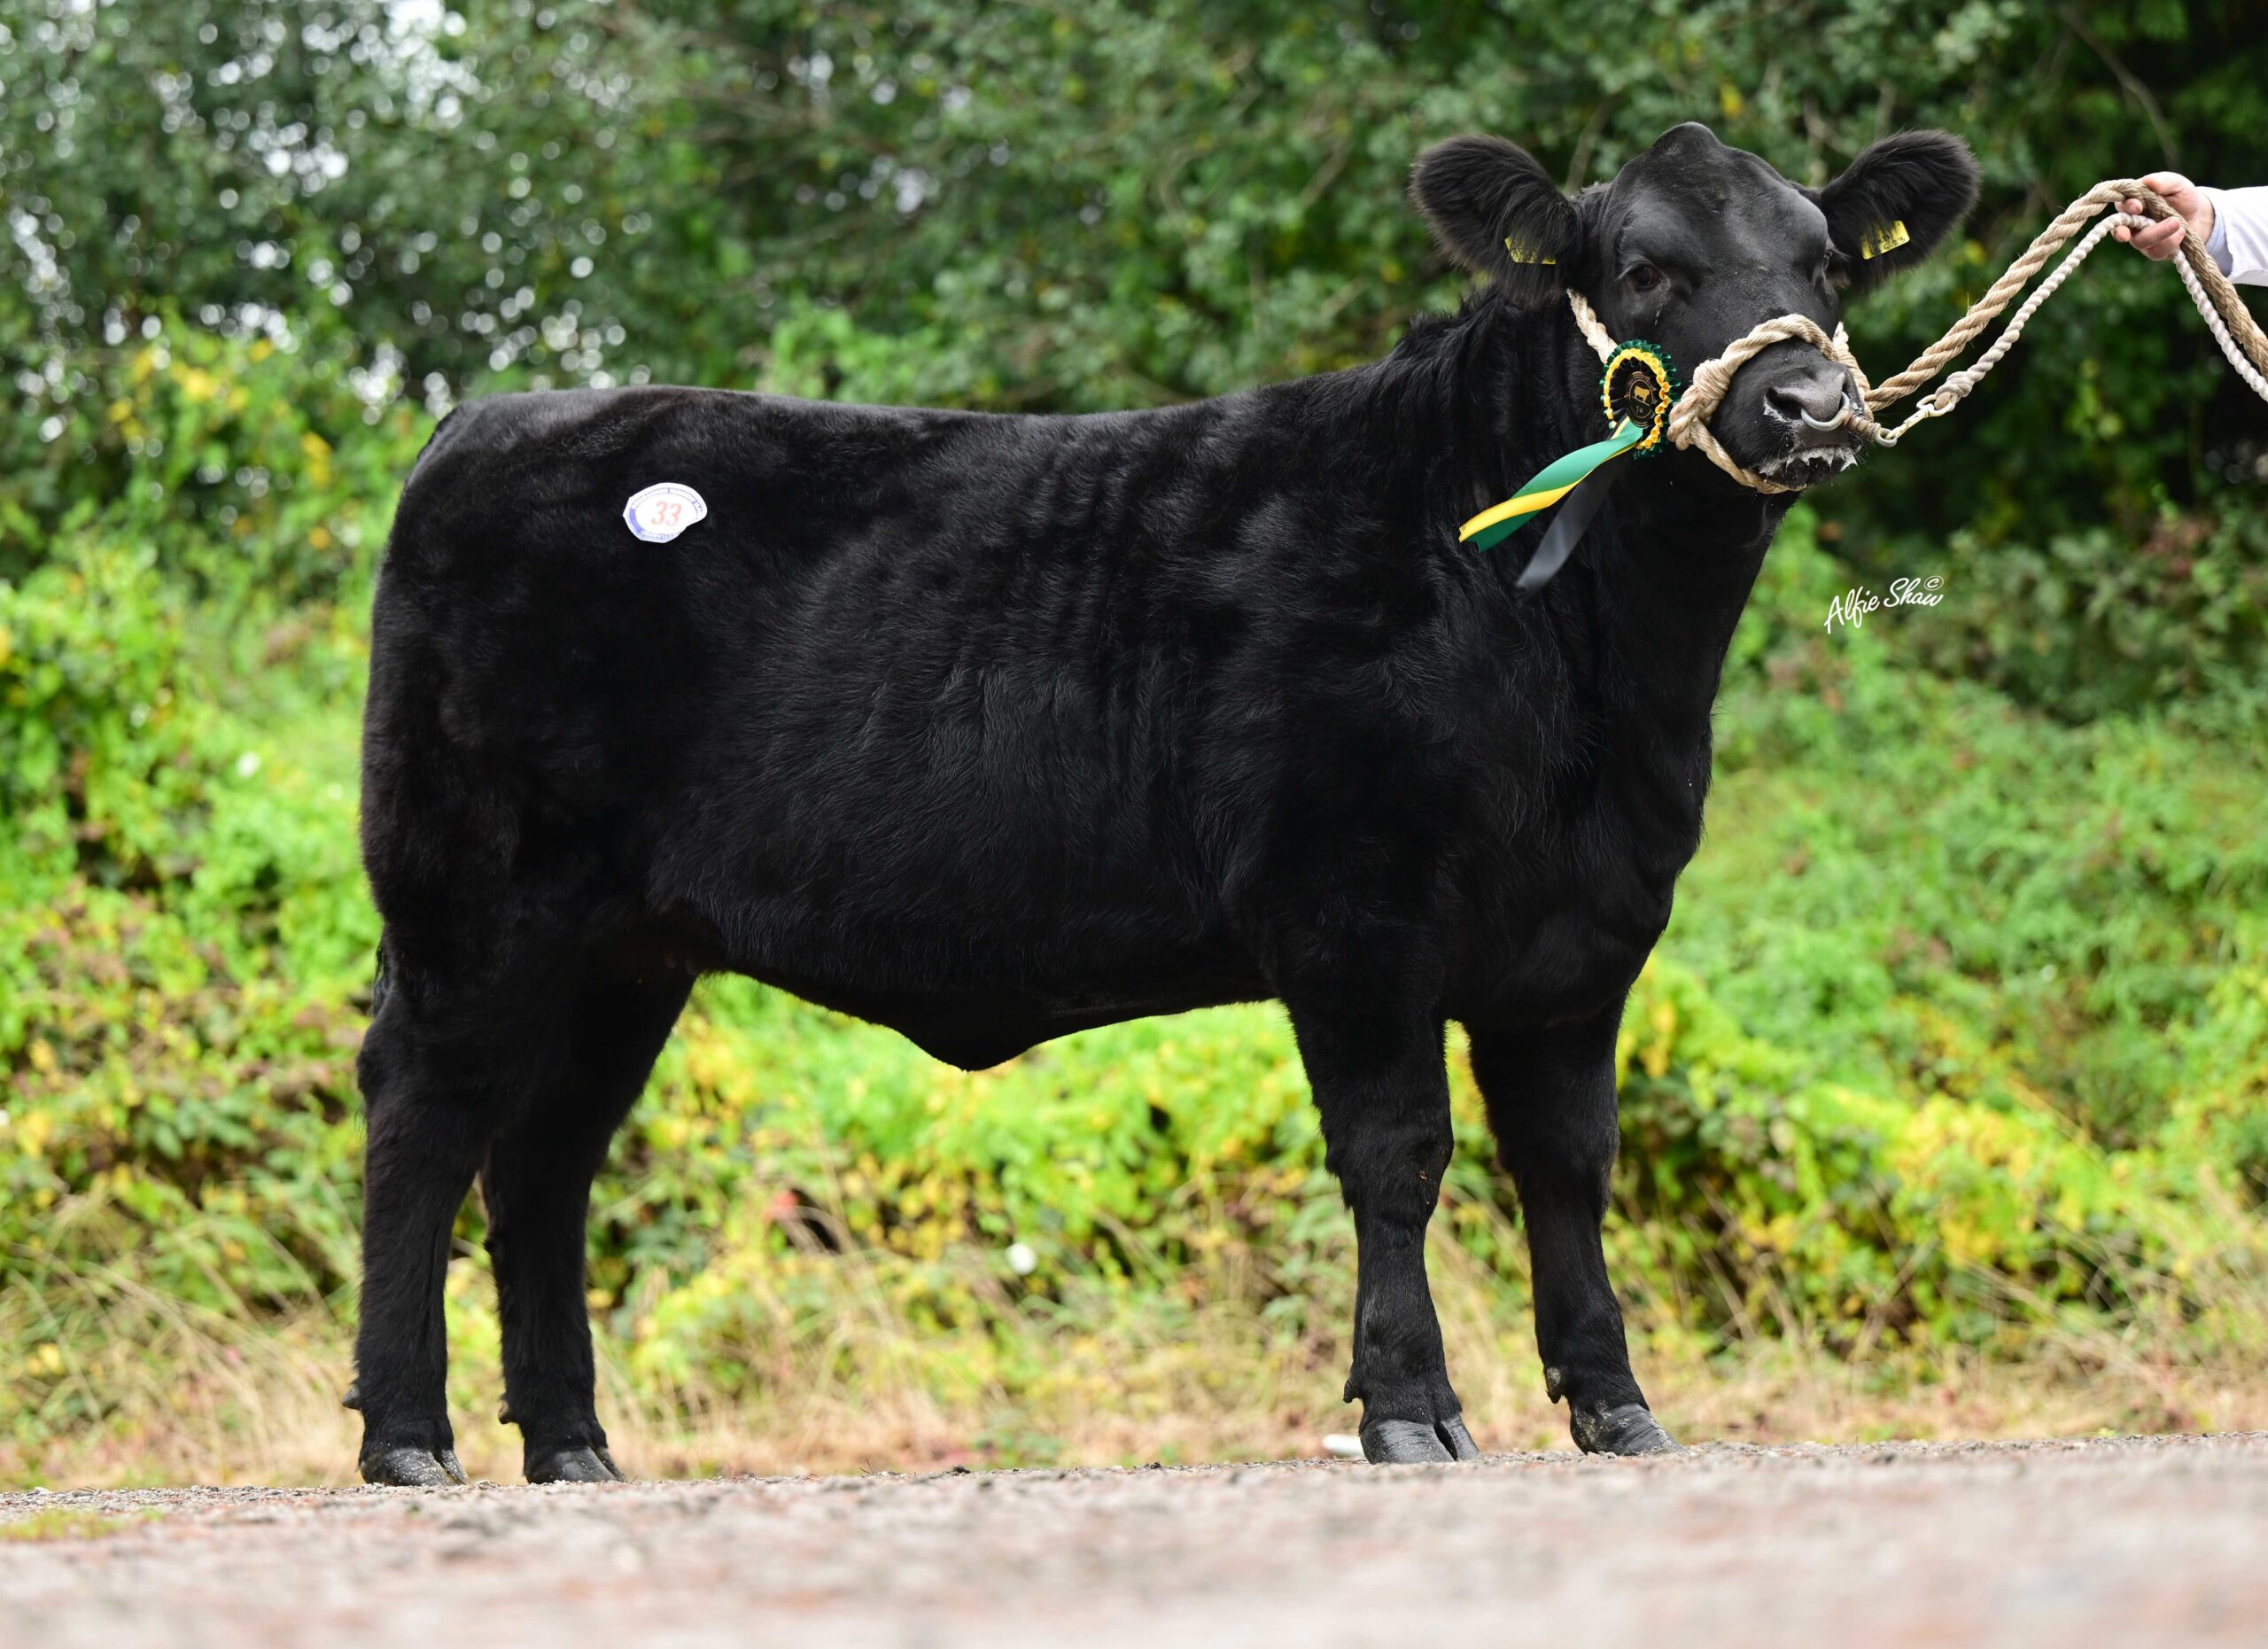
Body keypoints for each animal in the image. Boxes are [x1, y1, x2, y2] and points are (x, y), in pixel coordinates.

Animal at [349, 120, 1979, 1484]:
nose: (1812, 400)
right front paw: (1410, 1408)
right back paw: (410, 1437)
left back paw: (571, 1449)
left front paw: (1619, 1407)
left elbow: (1570, 1169)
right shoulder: (1353, 912)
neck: (1594, 671)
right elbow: (1400, 1157)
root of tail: (487, 420)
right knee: (423, 1124)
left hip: (625, 951)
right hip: (472, 903)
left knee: (543, 1164)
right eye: (1646, 268)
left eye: (1828, 266)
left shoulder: (1586, 935)